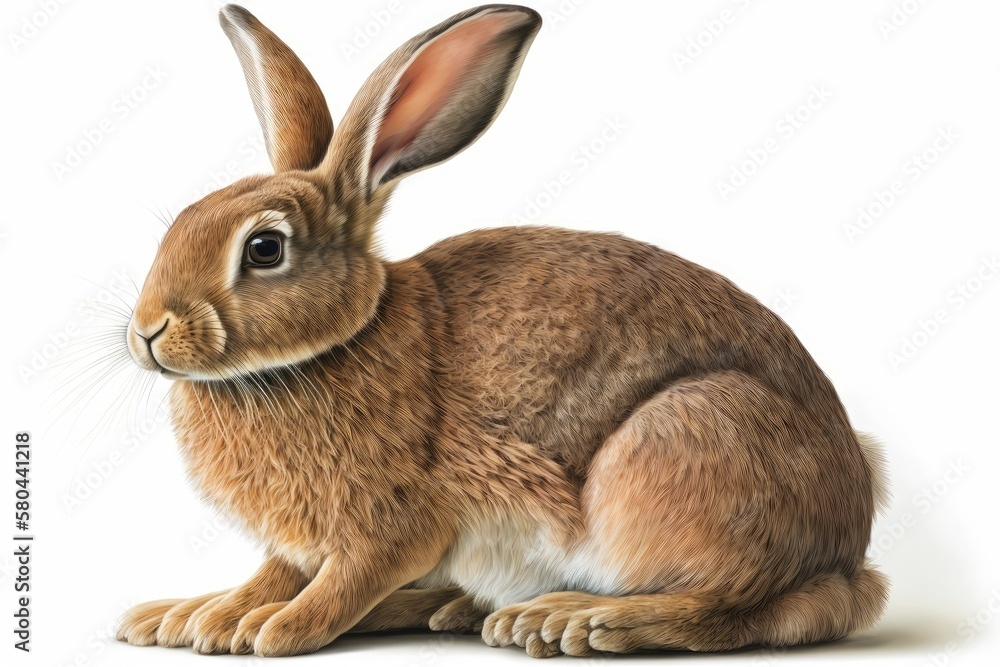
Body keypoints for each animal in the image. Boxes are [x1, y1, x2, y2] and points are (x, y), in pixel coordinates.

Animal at [115, 3, 889, 659]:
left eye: (264, 248)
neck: (339, 342)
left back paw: (569, 619)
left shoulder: (397, 524)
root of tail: (845, 555)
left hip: (684, 441)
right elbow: (272, 571)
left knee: (725, 610)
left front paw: (275, 630)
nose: (147, 332)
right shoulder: (299, 543)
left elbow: (344, 581)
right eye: (182, 220)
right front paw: (195, 617)